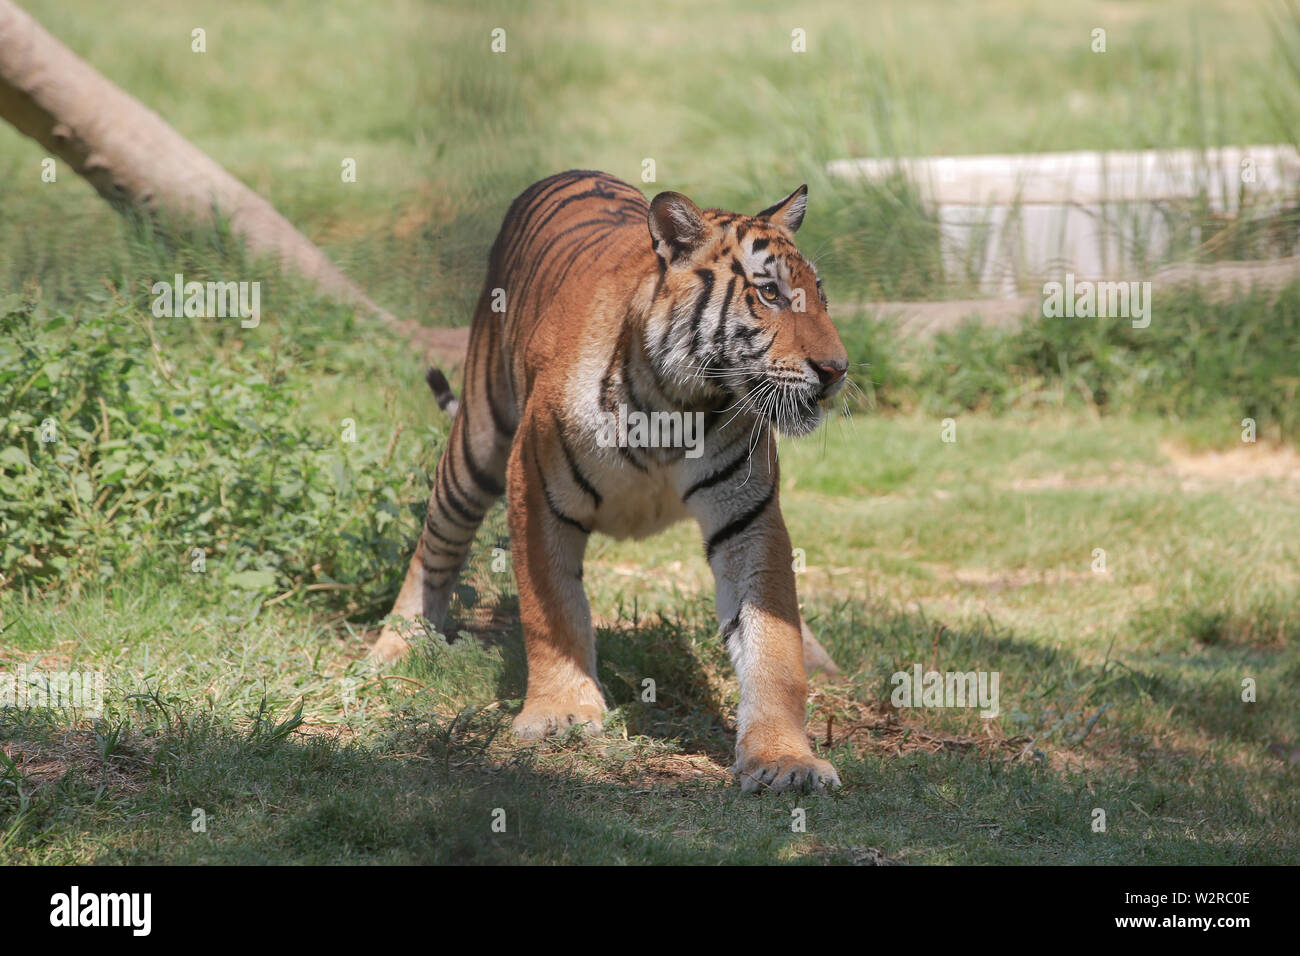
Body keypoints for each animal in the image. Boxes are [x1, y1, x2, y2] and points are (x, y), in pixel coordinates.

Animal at [373, 169, 849, 792]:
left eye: (820, 293)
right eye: (769, 293)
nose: (838, 370)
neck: (679, 403)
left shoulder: (748, 518)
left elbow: (771, 639)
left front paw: (785, 759)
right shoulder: (534, 486)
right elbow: (553, 609)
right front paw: (560, 713)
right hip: (477, 435)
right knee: (435, 541)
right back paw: (396, 644)